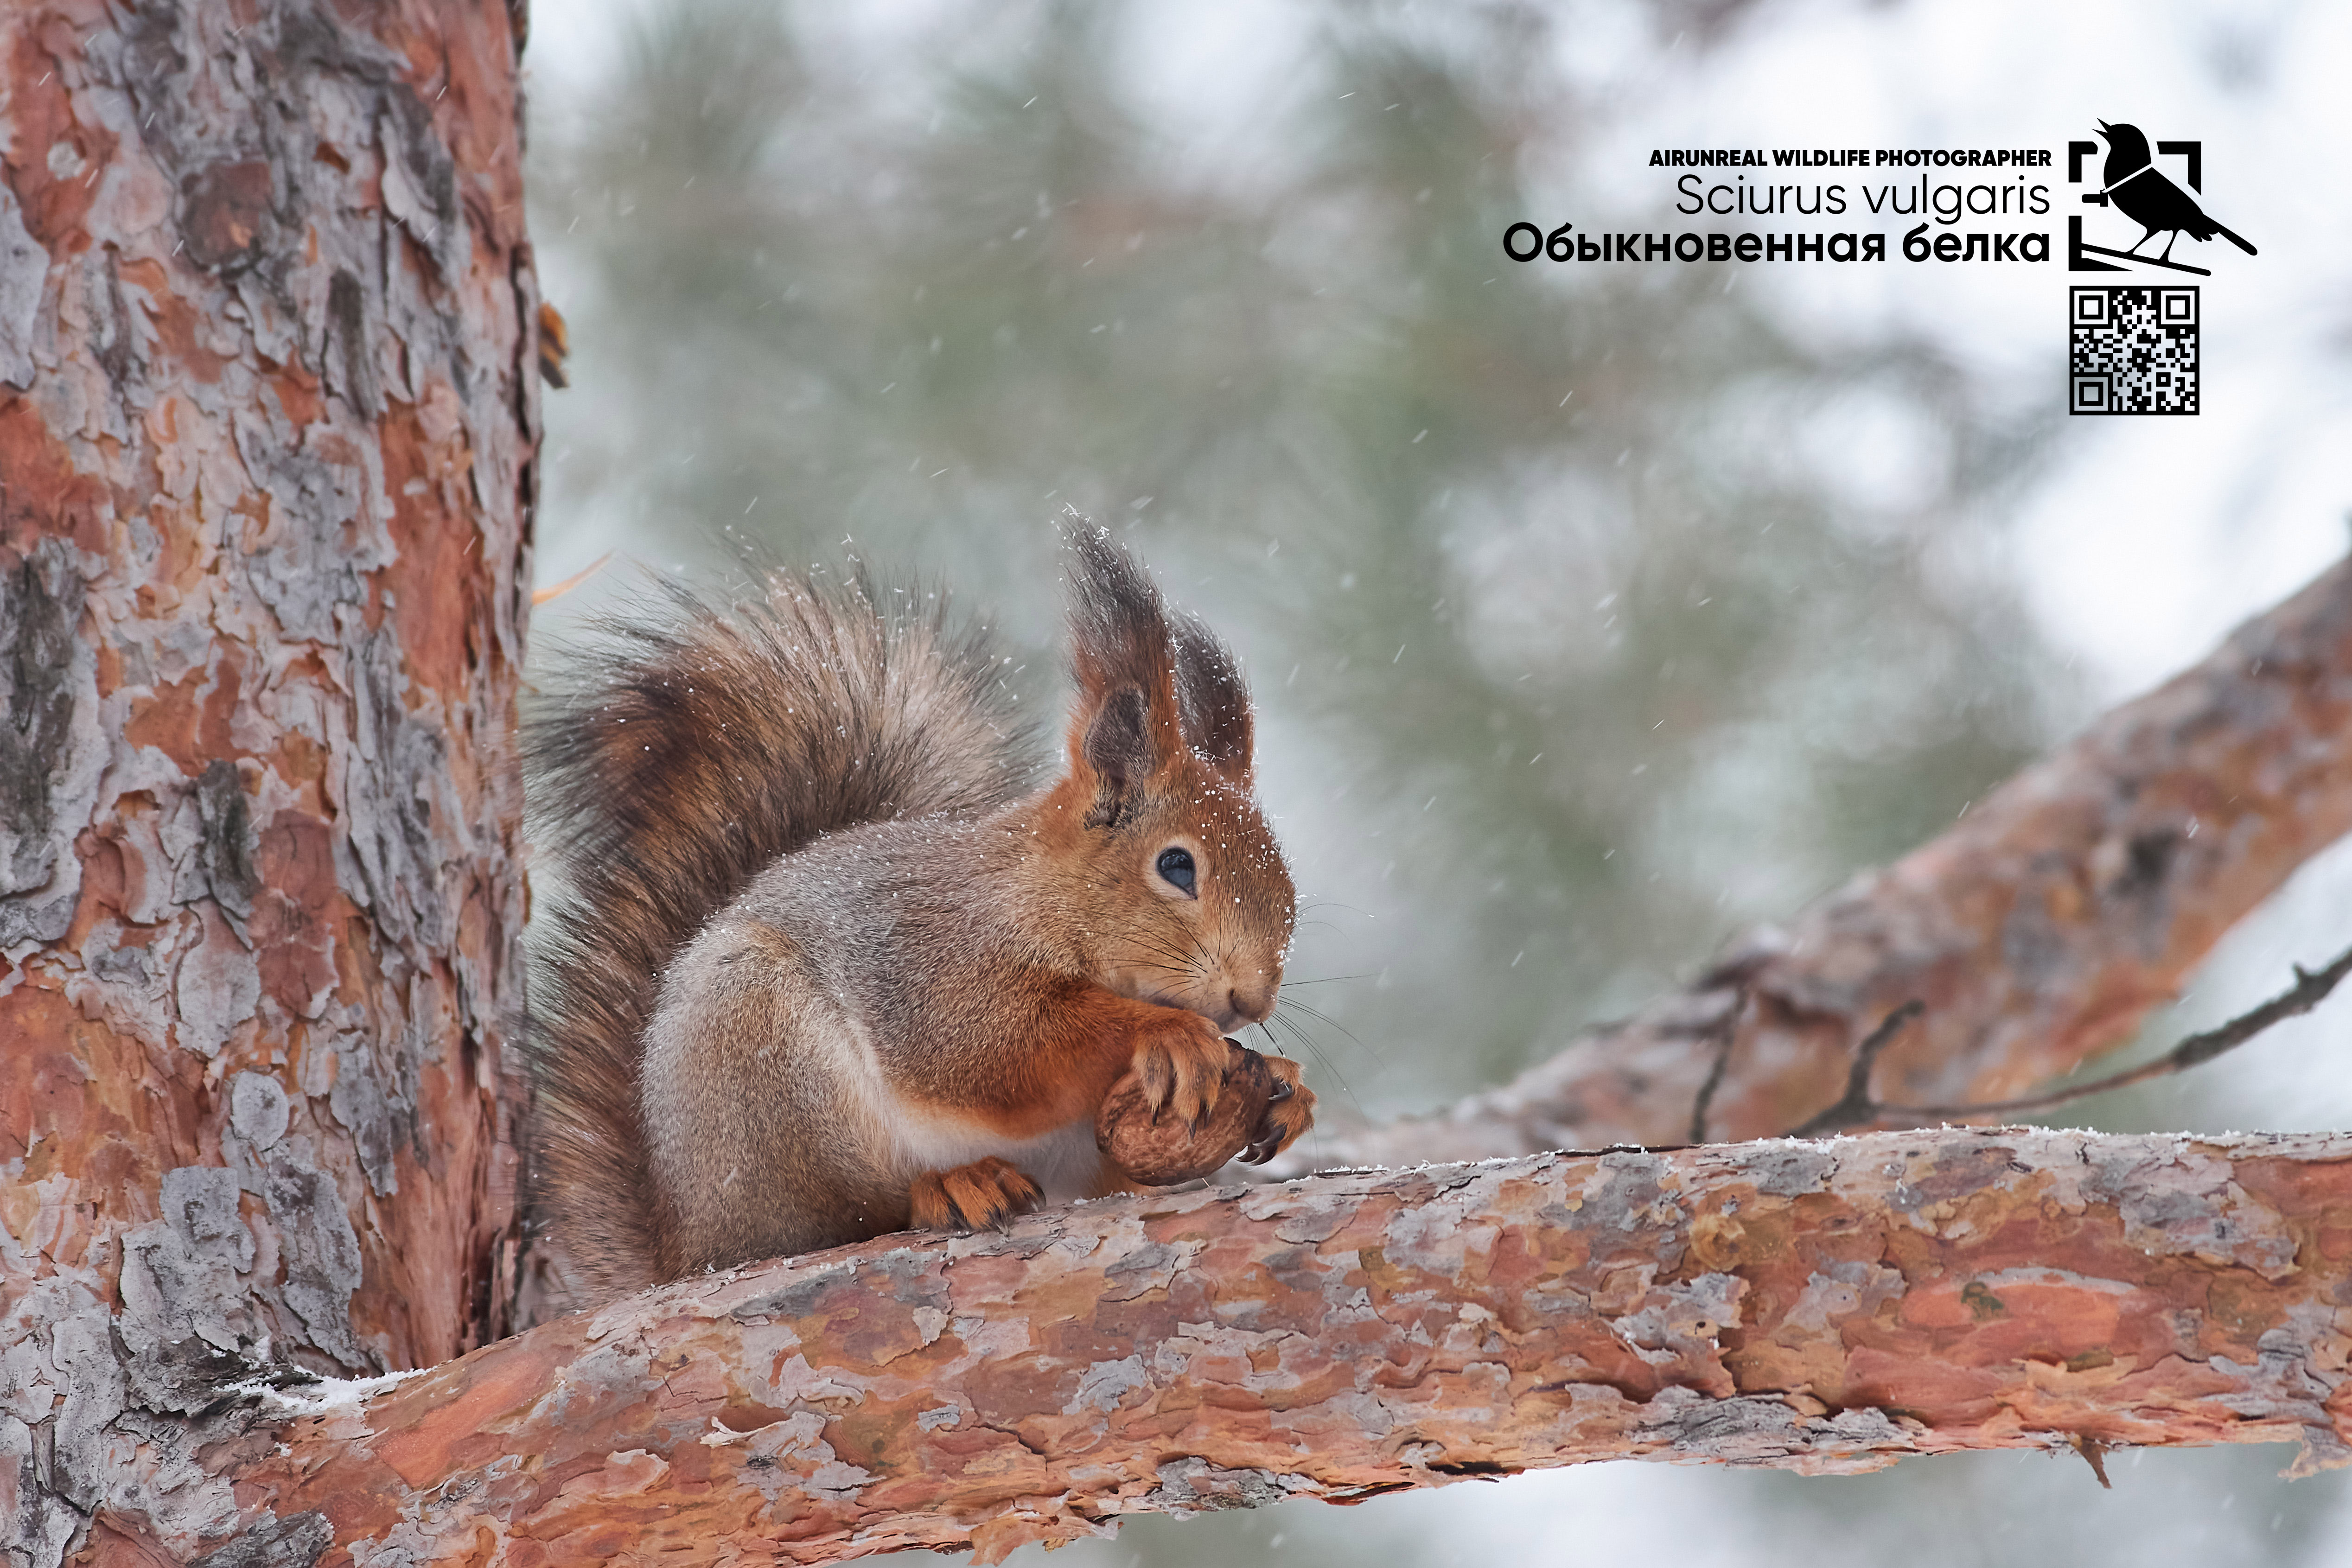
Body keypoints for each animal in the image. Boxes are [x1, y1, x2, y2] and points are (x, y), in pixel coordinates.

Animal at [522, 522, 1317, 1307]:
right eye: (1177, 866)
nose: (1253, 997)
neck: (1035, 896)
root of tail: (685, 1243)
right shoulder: (940, 968)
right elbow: (1002, 1051)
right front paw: (1166, 1030)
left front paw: (1285, 1085)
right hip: (764, 1057)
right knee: (844, 1217)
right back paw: (950, 1186)